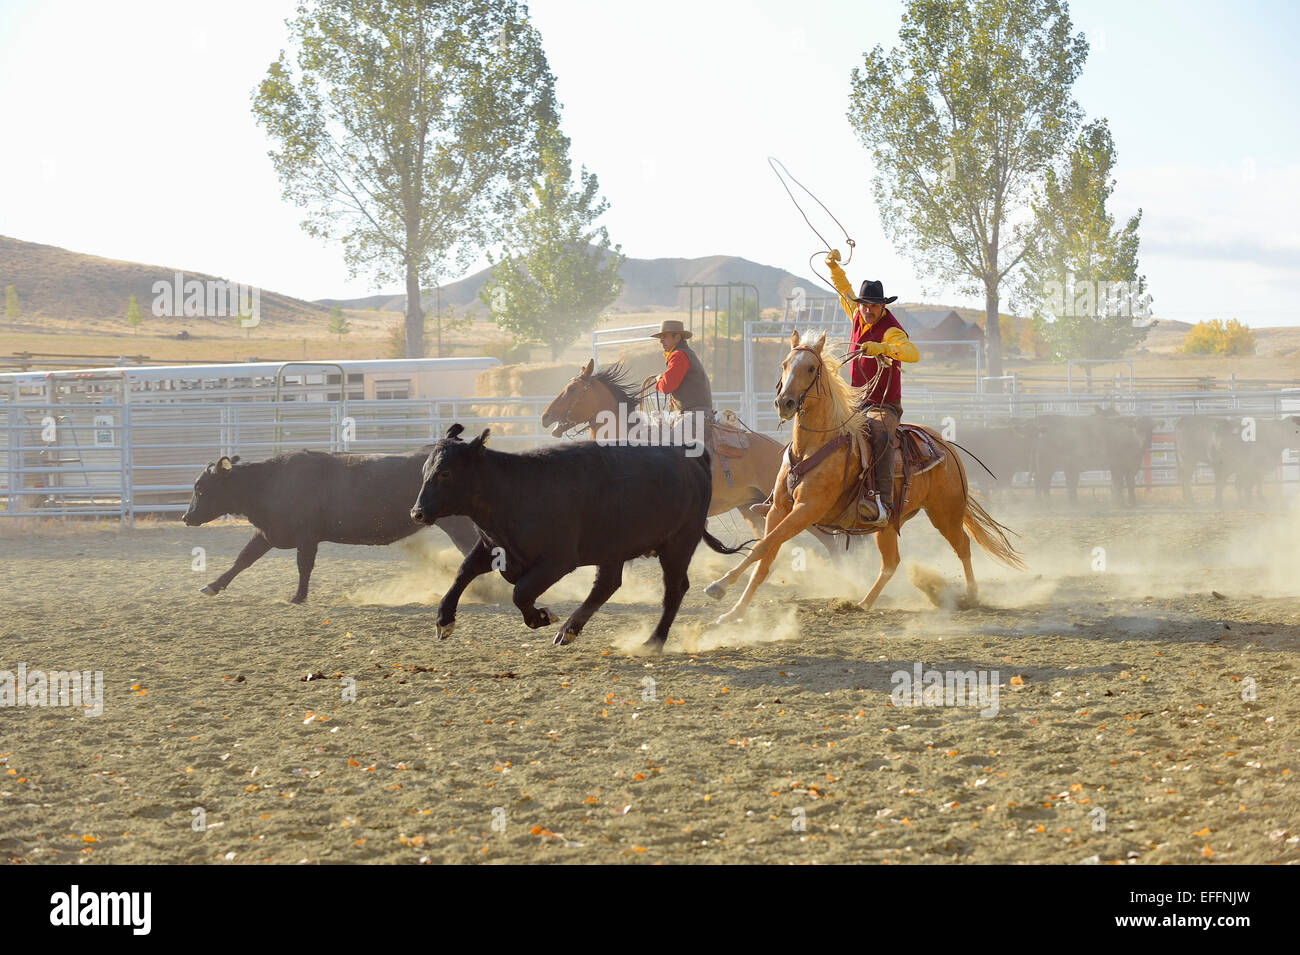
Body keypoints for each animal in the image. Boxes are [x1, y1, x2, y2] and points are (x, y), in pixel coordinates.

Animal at [182, 449, 480, 603]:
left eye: (201, 488)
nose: (186, 517)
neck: (271, 481)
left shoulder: (306, 536)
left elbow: (303, 566)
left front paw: (298, 597)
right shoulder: (266, 533)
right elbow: (243, 559)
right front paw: (212, 585)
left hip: (458, 525)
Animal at [409, 424, 743, 651]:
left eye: (445, 473)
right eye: (425, 470)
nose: (417, 512)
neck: (514, 489)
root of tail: (690, 456)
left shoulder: (557, 560)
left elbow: (521, 591)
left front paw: (541, 617)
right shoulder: (495, 547)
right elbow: (463, 572)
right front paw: (444, 620)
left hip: (678, 544)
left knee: (674, 590)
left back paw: (653, 641)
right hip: (614, 548)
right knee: (607, 585)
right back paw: (570, 630)